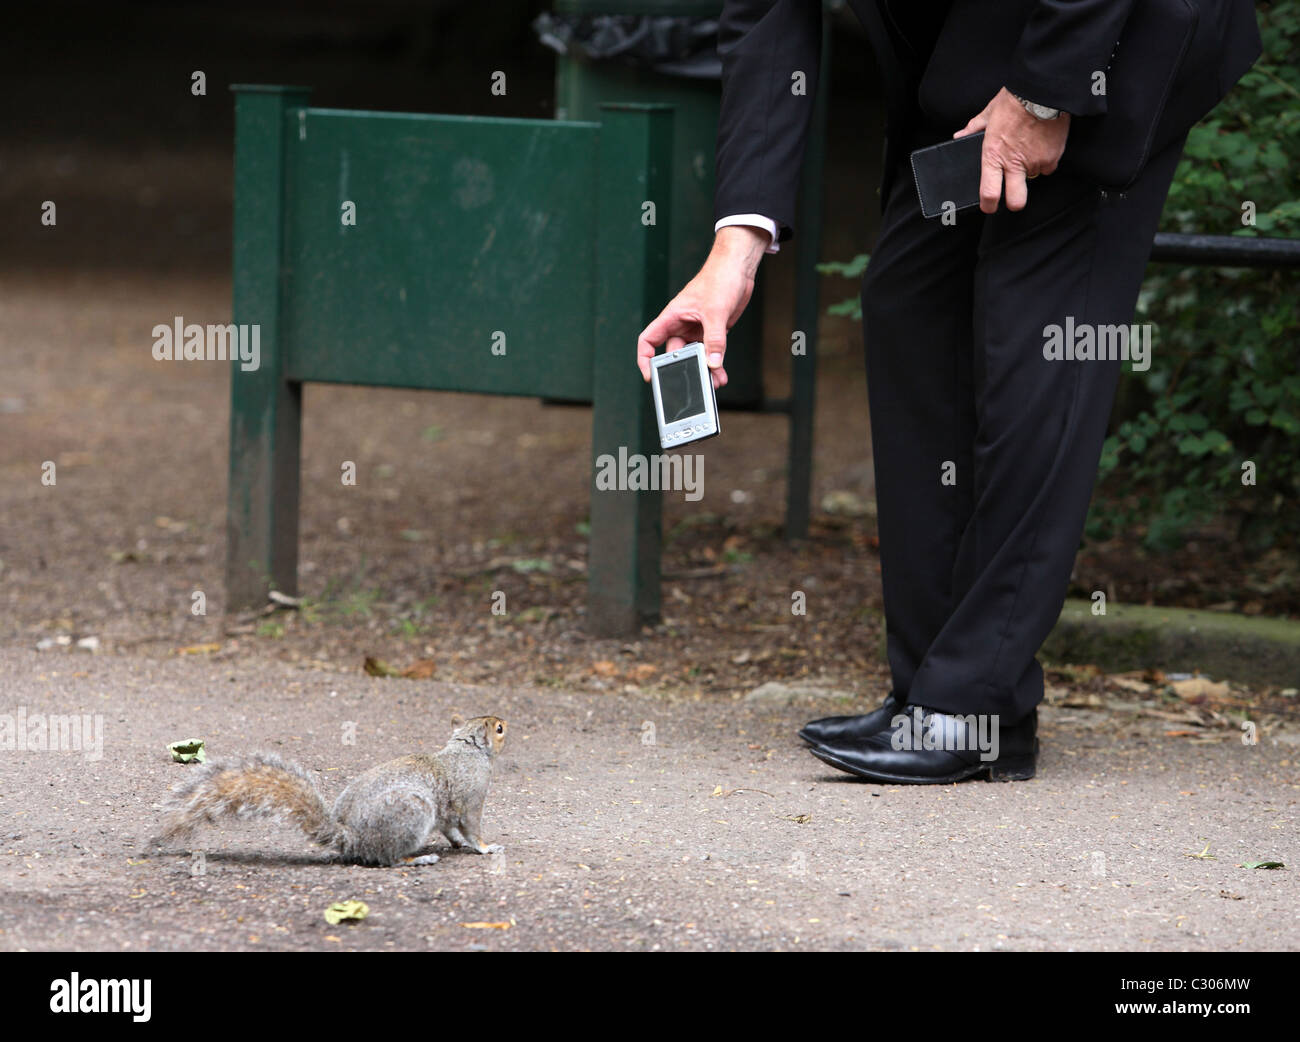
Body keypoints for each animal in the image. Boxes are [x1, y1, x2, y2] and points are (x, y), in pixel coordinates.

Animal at [154, 716, 506, 866]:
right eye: (499, 728)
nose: (506, 719)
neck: (468, 750)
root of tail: (353, 839)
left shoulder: (448, 811)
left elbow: (451, 828)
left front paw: (458, 844)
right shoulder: (470, 798)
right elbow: (472, 828)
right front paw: (486, 848)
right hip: (412, 812)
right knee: (387, 858)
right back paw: (417, 859)